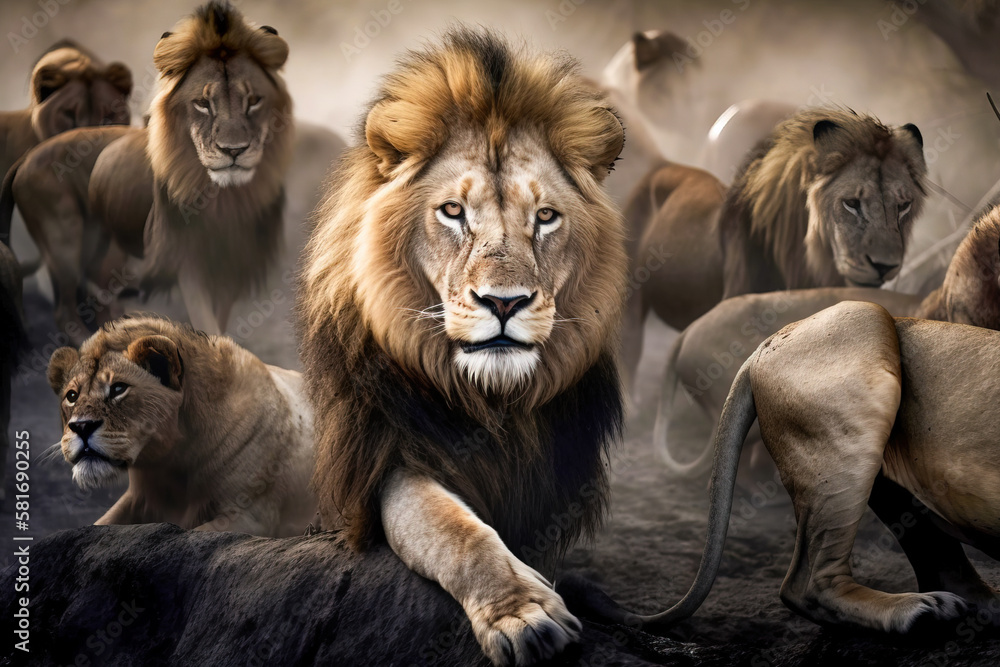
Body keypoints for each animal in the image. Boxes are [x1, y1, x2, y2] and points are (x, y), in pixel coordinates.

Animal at [1, 2, 293, 343]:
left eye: (254, 101)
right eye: (202, 103)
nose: (233, 150)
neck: (227, 198)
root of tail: (27, 157)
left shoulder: (231, 264)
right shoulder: (186, 261)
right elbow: (205, 320)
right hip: (63, 241)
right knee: (64, 310)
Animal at [45, 314, 315, 537]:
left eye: (119, 388)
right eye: (72, 396)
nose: (81, 426)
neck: (171, 465)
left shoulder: (252, 517)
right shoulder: (136, 499)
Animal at [298, 28, 627, 666]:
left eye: (545, 217)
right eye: (453, 212)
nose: (504, 303)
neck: (493, 401)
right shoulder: (394, 459)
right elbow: (462, 533)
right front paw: (523, 616)